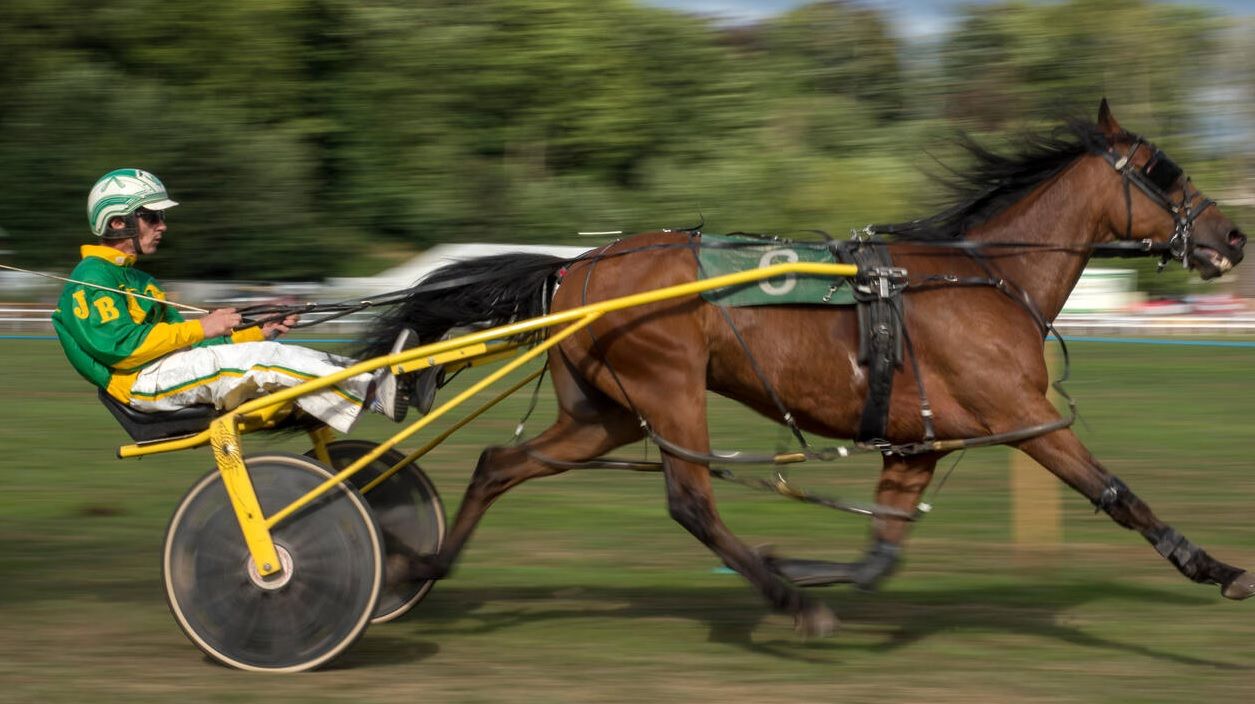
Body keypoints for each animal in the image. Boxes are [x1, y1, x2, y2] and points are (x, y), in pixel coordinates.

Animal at [360, 100, 1250, 636]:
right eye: (1165, 172)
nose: (1232, 237)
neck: (984, 279)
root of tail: (574, 268)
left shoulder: (917, 442)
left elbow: (880, 554)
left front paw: (806, 566)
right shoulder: (1022, 415)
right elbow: (1118, 495)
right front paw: (1214, 568)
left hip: (601, 412)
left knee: (496, 462)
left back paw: (420, 565)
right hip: (668, 386)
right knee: (689, 501)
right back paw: (786, 602)